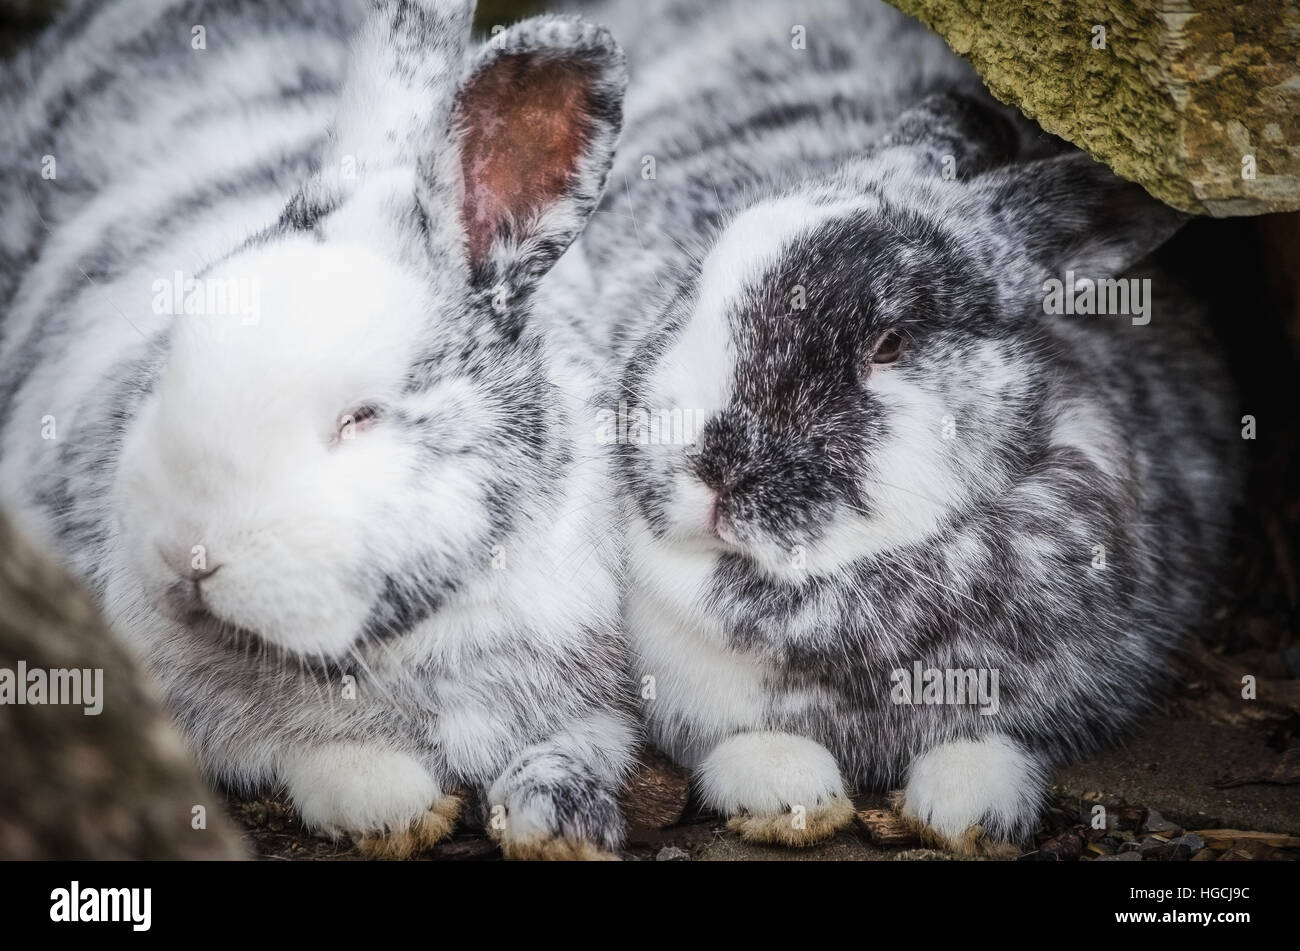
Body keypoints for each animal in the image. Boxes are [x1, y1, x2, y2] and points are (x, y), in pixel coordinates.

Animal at [0, 0, 637, 860]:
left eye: (360, 417)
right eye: (173, 346)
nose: (187, 550)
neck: (403, 642)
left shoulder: (604, 686)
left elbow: (584, 743)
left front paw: (559, 820)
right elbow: (319, 758)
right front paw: (396, 808)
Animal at [576, 0, 1241, 854]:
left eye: (889, 345)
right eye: (695, 278)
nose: (711, 475)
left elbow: (985, 745)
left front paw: (967, 810)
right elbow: (748, 744)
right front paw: (788, 793)